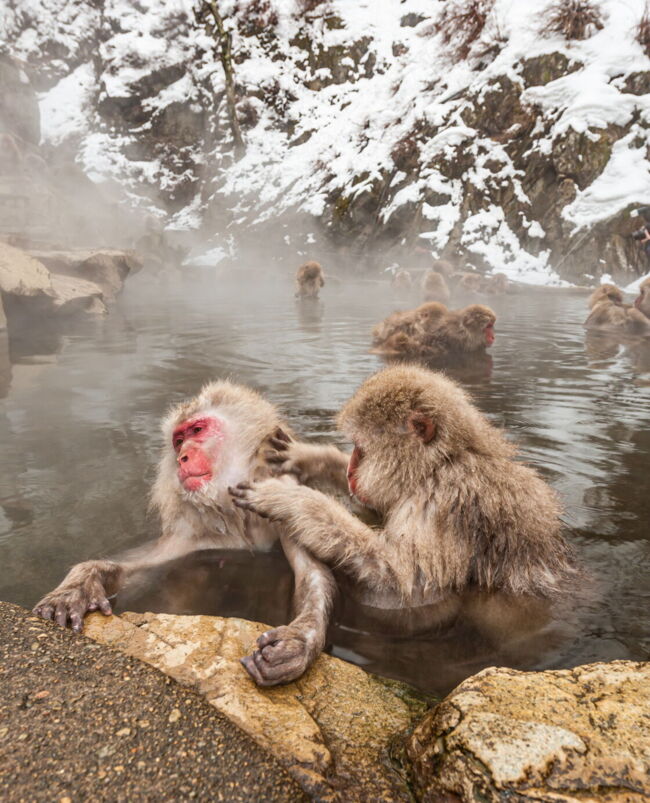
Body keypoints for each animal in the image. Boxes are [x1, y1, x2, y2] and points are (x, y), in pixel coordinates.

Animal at [33, 381, 337, 687]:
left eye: (197, 430)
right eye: (178, 441)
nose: (182, 457)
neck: (237, 515)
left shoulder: (288, 511)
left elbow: (311, 572)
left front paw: (300, 640)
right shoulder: (194, 536)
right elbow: (140, 567)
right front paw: (80, 584)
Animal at [230, 364, 578, 608]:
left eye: (361, 448)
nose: (353, 471)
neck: (440, 465)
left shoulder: (443, 504)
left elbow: (403, 580)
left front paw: (291, 500)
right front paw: (307, 456)